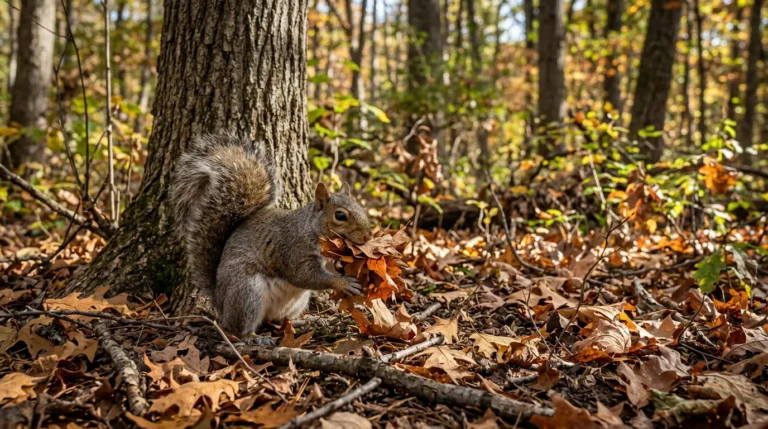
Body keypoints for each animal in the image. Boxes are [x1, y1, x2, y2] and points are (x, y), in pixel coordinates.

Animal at [171, 133, 372, 344]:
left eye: (361, 207)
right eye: (340, 216)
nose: (368, 235)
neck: (311, 229)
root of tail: (220, 302)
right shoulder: (294, 249)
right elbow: (304, 276)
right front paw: (343, 282)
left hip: (295, 303)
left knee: (277, 320)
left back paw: (302, 322)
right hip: (247, 293)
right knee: (239, 328)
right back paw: (253, 336)